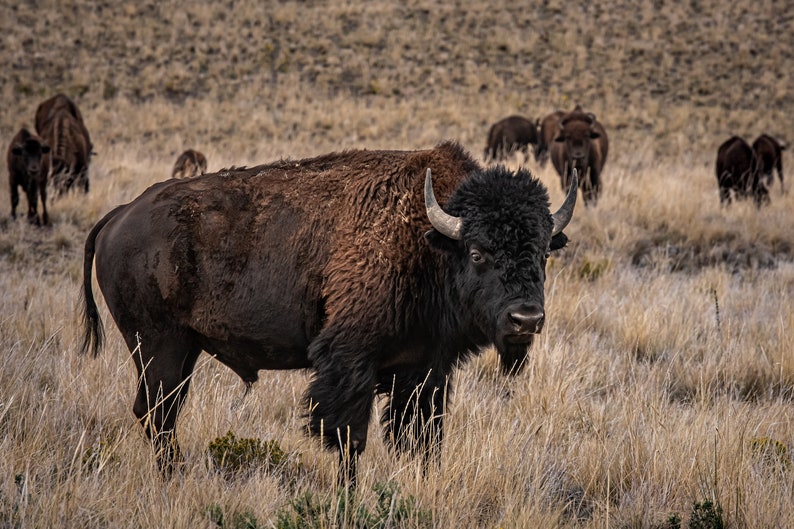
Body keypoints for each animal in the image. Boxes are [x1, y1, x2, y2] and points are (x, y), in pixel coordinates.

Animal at [80, 142, 577, 484]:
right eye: (477, 253)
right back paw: (175, 478)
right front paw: (348, 496)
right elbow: (349, 438)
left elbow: (421, 438)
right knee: (155, 414)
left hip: (183, 351)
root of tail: (120, 214)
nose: (526, 320)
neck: (428, 239)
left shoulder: (425, 370)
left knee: (163, 413)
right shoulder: (350, 362)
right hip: (157, 346)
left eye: (542, 254)